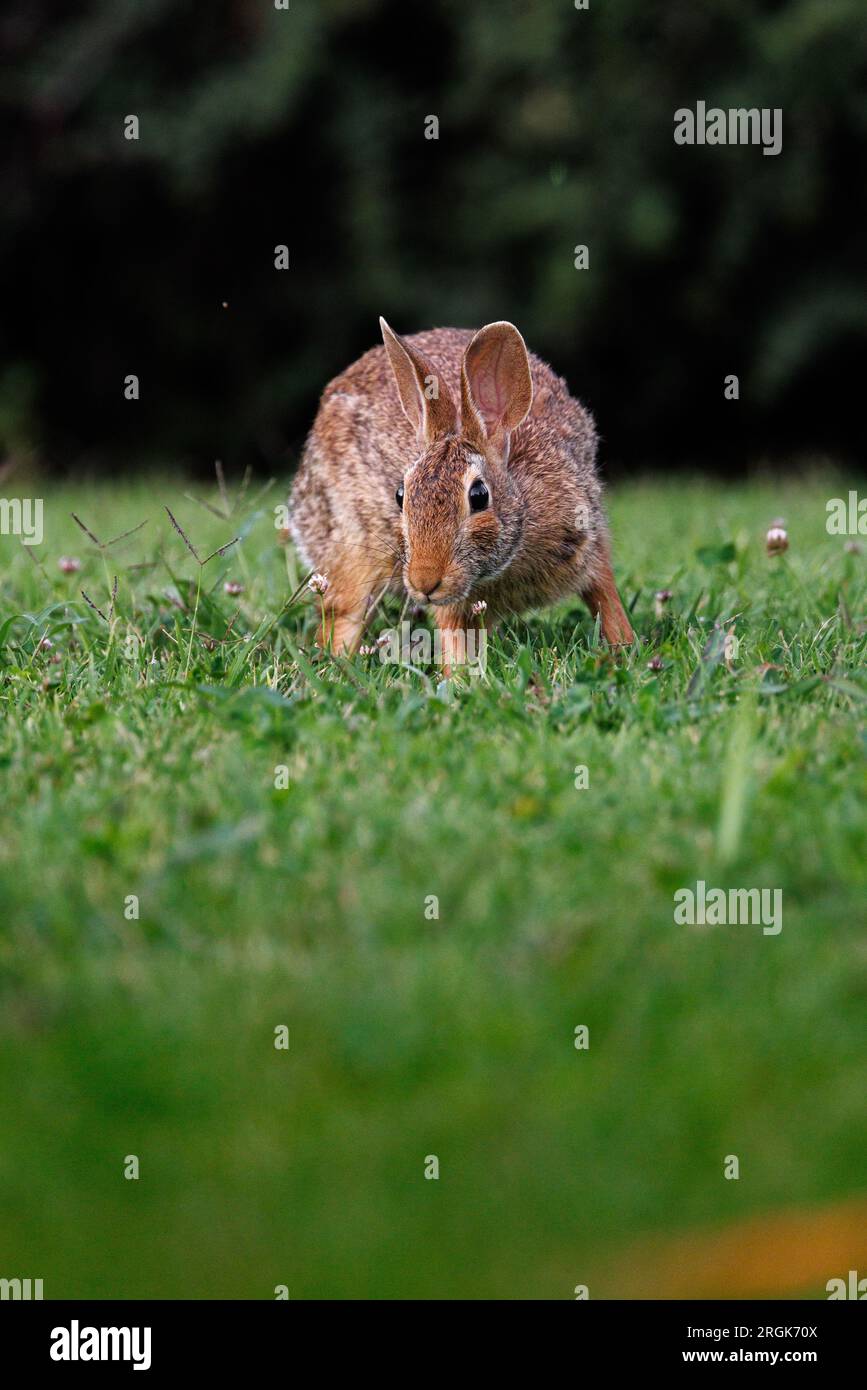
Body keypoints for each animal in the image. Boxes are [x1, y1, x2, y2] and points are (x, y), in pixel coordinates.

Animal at [289, 318, 634, 665]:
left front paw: (625, 649)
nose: (424, 582)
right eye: (400, 495)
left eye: (479, 496)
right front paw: (459, 676)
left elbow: (606, 599)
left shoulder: (589, 540)